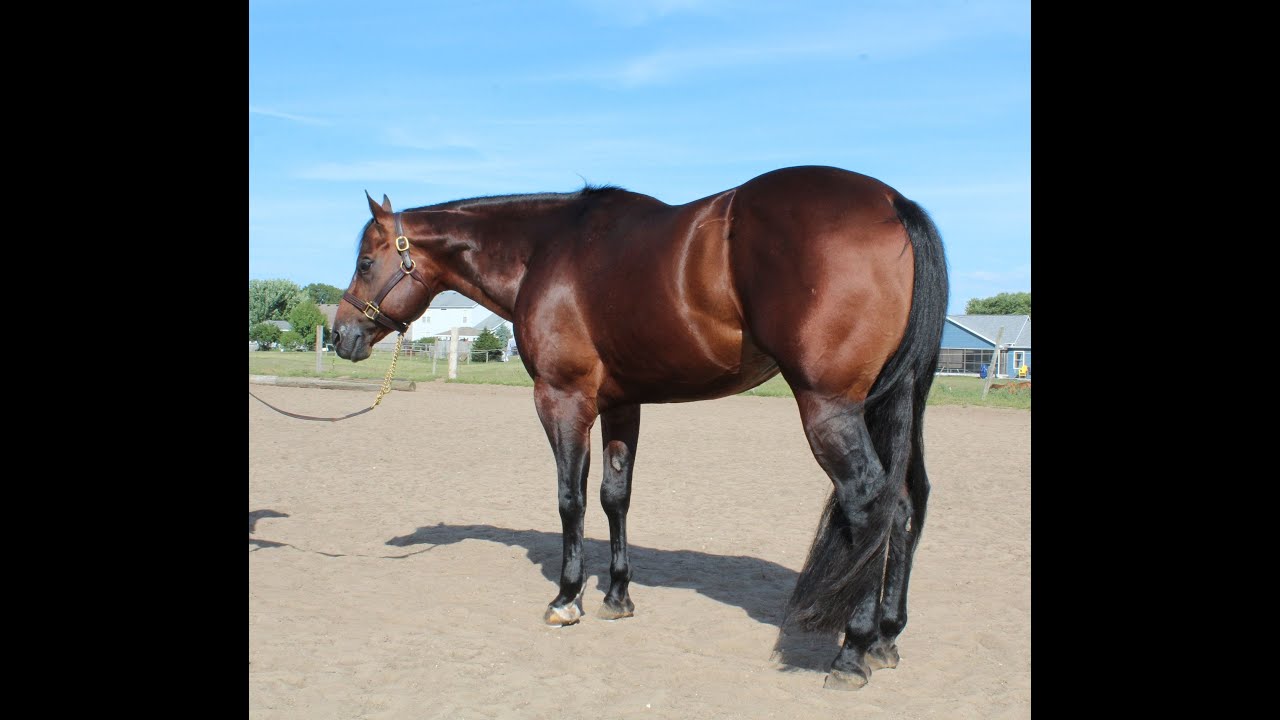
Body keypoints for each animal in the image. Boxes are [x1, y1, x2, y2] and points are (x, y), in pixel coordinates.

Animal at [333, 165, 948, 690]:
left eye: (365, 262)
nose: (341, 335)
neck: (546, 249)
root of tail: (891, 203)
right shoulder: (622, 405)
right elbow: (615, 496)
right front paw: (618, 595)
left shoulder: (563, 398)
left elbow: (571, 499)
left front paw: (567, 598)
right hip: (897, 404)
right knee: (905, 503)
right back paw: (885, 638)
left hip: (829, 407)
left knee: (868, 502)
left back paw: (852, 652)